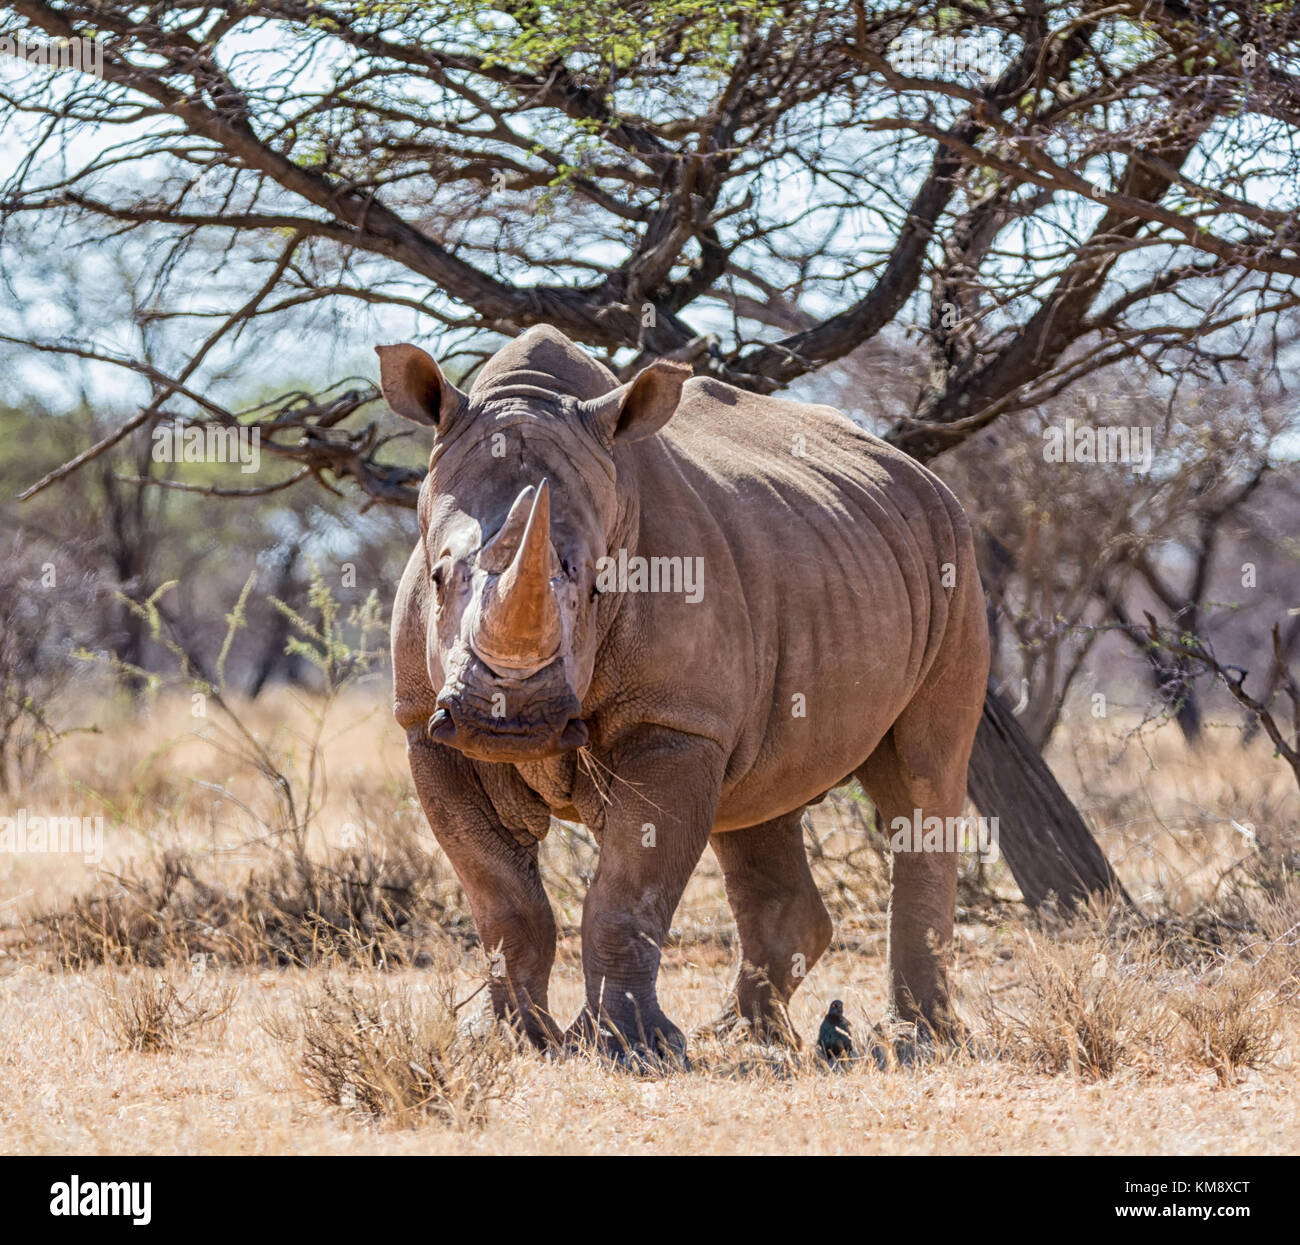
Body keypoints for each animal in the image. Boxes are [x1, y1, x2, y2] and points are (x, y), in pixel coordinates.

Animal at [380, 325, 989, 1058]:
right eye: (439, 577)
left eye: (597, 587)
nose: (509, 721)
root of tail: (921, 474)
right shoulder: (425, 723)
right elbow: (501, 898)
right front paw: (503, 1041)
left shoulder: (675, 720)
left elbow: (627, 891)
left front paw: (630, 1047)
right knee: (757, 803)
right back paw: (748, 1035)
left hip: (953, 556)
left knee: (922, 778)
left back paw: (918, 1039)